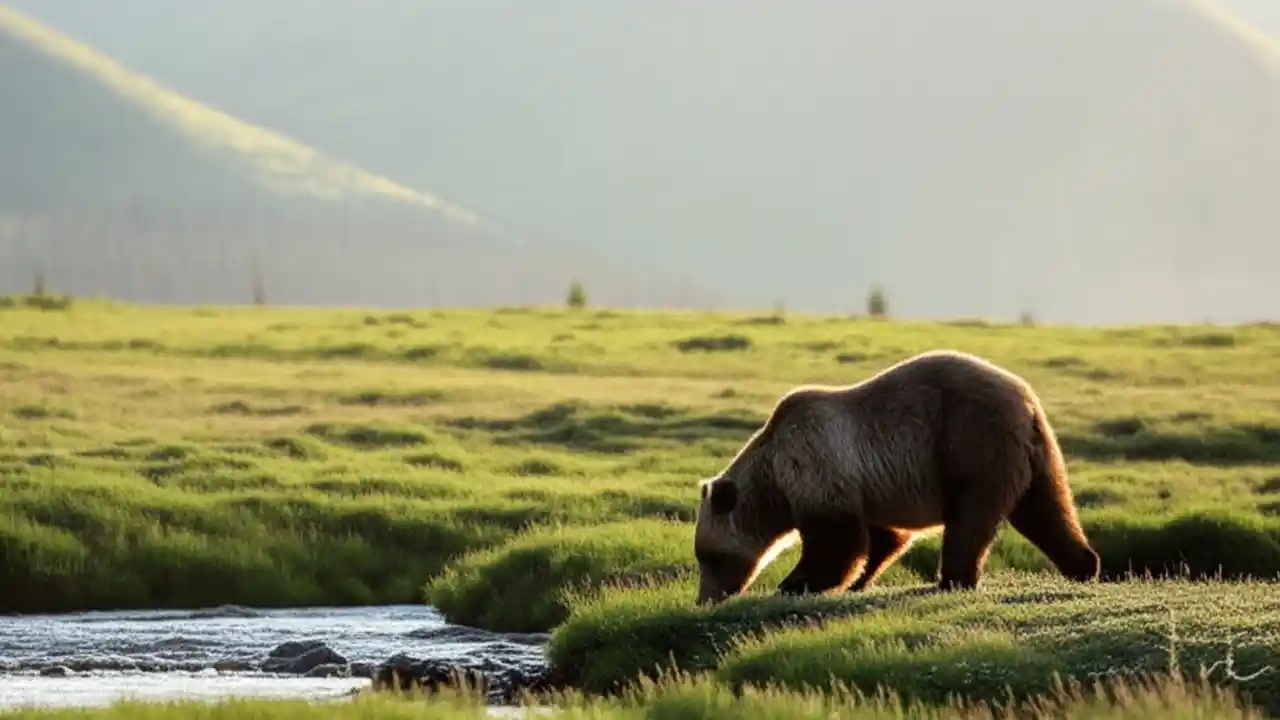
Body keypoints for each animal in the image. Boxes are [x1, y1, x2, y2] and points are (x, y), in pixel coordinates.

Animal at [694, 349, 1100, 605]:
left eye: (710, 557)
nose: (704, 599)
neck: (774, 484)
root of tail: (1026, 401)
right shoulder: (868, 487)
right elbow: (883, 538)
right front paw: (859, 579)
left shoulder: (816, 467)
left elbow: (837, 542)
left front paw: (793, 584)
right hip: (1034, 456)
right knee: (1047, 510)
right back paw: (1084, 565)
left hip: (969, 442)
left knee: (969, 519)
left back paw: (953, 579)